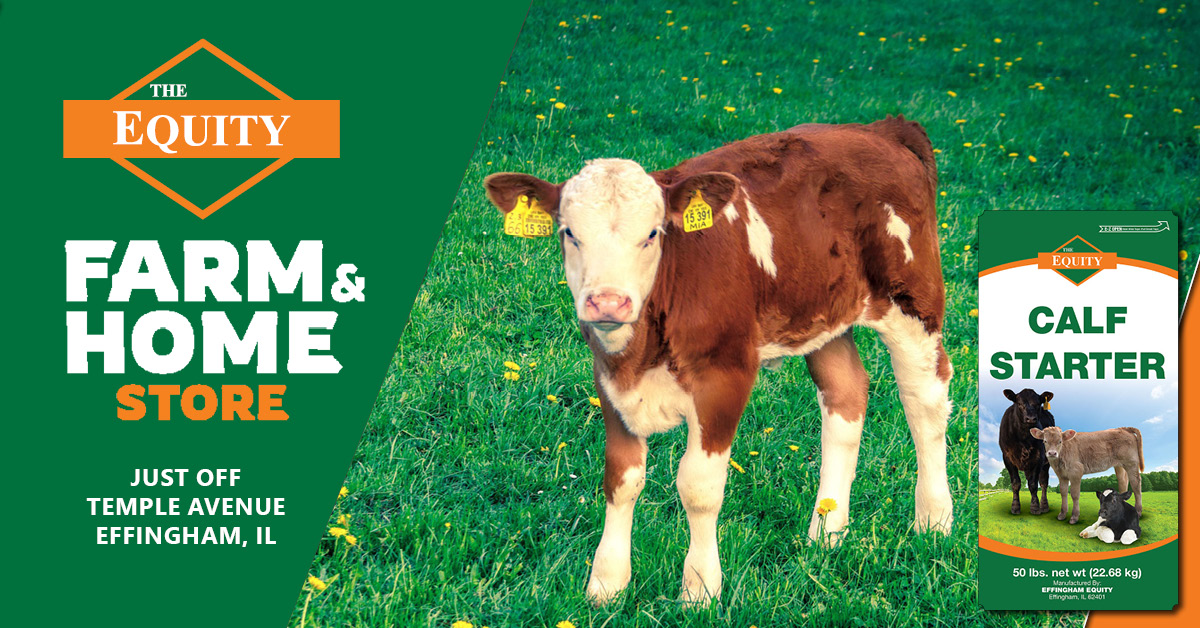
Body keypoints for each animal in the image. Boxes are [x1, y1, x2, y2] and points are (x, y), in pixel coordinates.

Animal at [484, 116, 954, 606]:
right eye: (569, 232)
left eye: (652, 234)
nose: (608, 301)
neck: (643, 351)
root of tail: (880, 128)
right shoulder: (608, 378)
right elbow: (621, 479)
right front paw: (607, 587)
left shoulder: (726, 375)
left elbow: (699, 486)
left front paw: (700, 590)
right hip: (822, 313)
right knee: (845, 395)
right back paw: (826, 534)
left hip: (912, 300)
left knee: (925, 403)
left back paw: (933, 523)